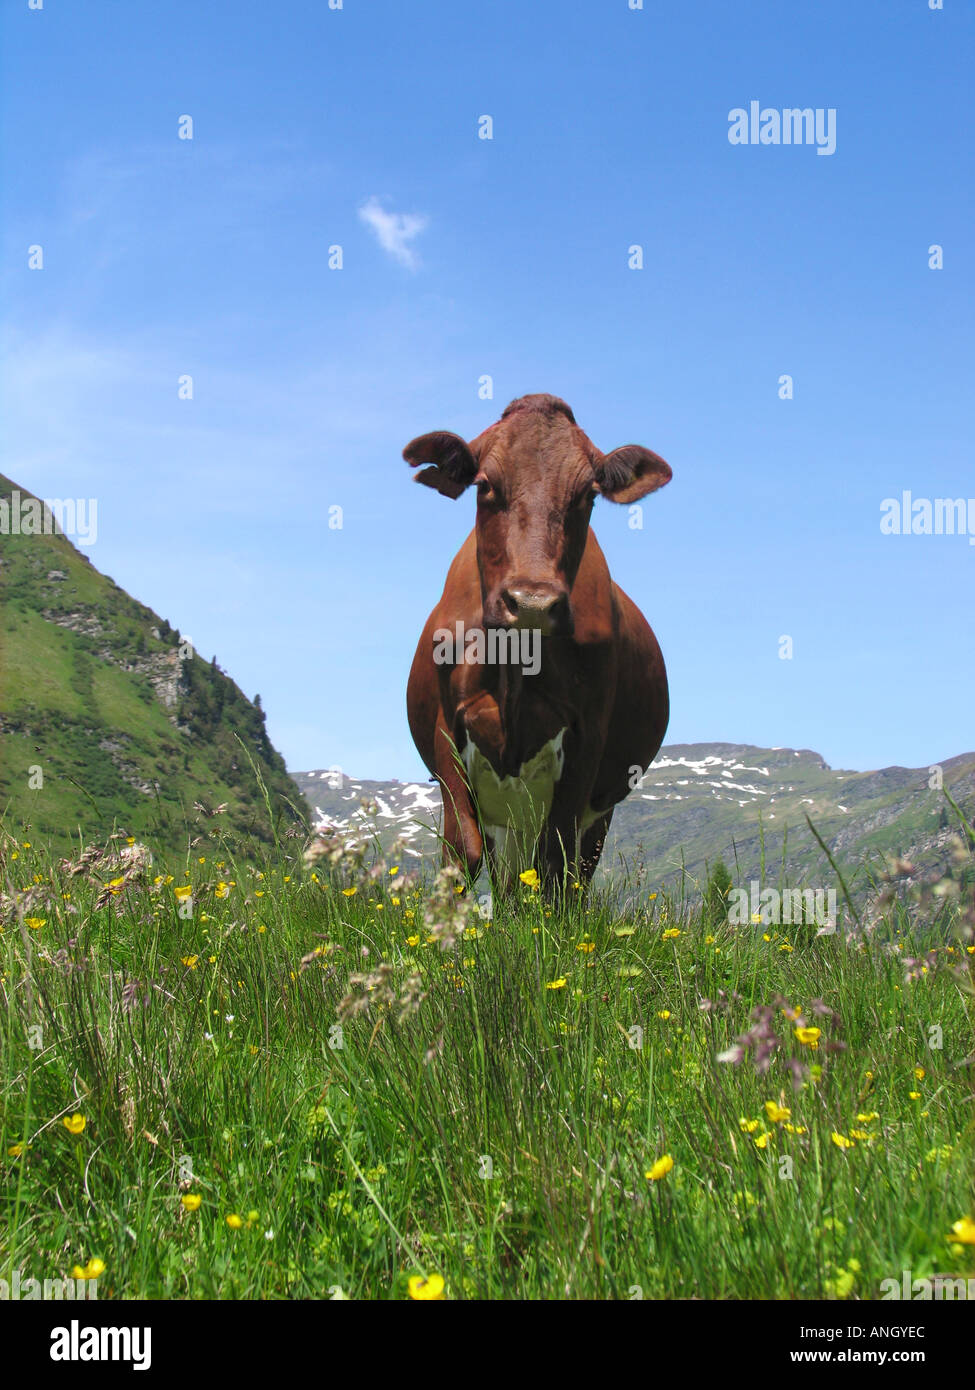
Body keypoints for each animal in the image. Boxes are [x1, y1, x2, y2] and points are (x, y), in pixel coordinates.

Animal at [405, 393, 671, 892]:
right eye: (485, 484)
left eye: (587, 494)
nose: (532, 601)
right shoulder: (446, 730)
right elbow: (463, 851)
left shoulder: (588, 737)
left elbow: (556, 860)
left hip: (595, 807)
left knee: (573, 867)